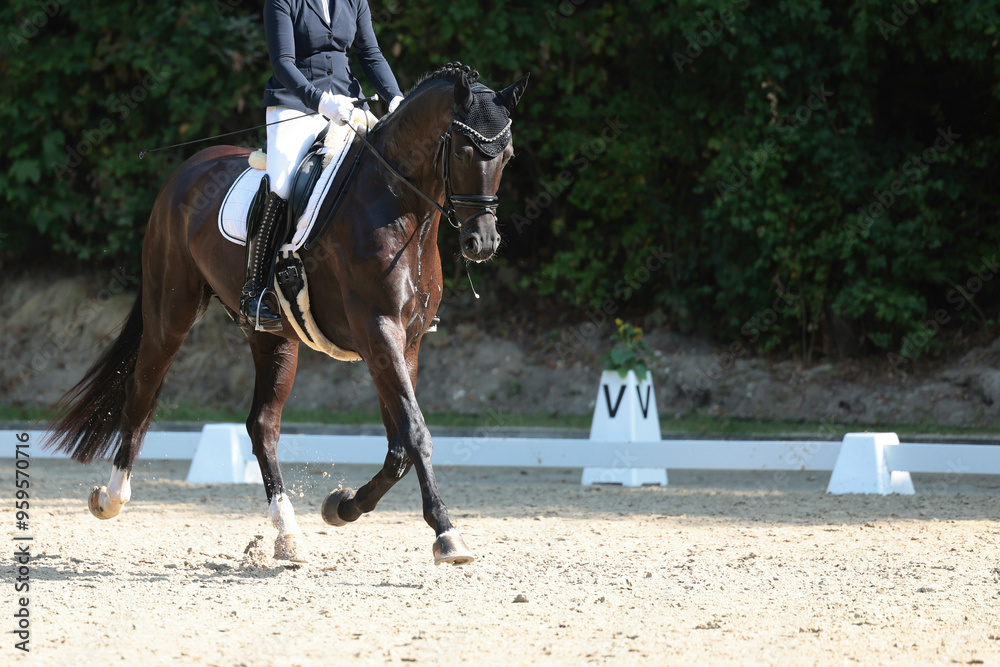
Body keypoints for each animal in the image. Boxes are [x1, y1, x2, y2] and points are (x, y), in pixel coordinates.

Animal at [43, 63, 530, 566]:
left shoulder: (406, 342)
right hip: (170, 312)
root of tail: (189, 168)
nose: (482, 243)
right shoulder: (378, 332)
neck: (397, 206)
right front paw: (446, 533)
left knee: (262, 426)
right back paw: (111, 497)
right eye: (464, 150)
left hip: (274, 338)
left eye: (508, 155)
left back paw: (287, 530)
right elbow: (416, 433)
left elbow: (398, 447)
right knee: (141, 392)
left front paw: (342, 506)